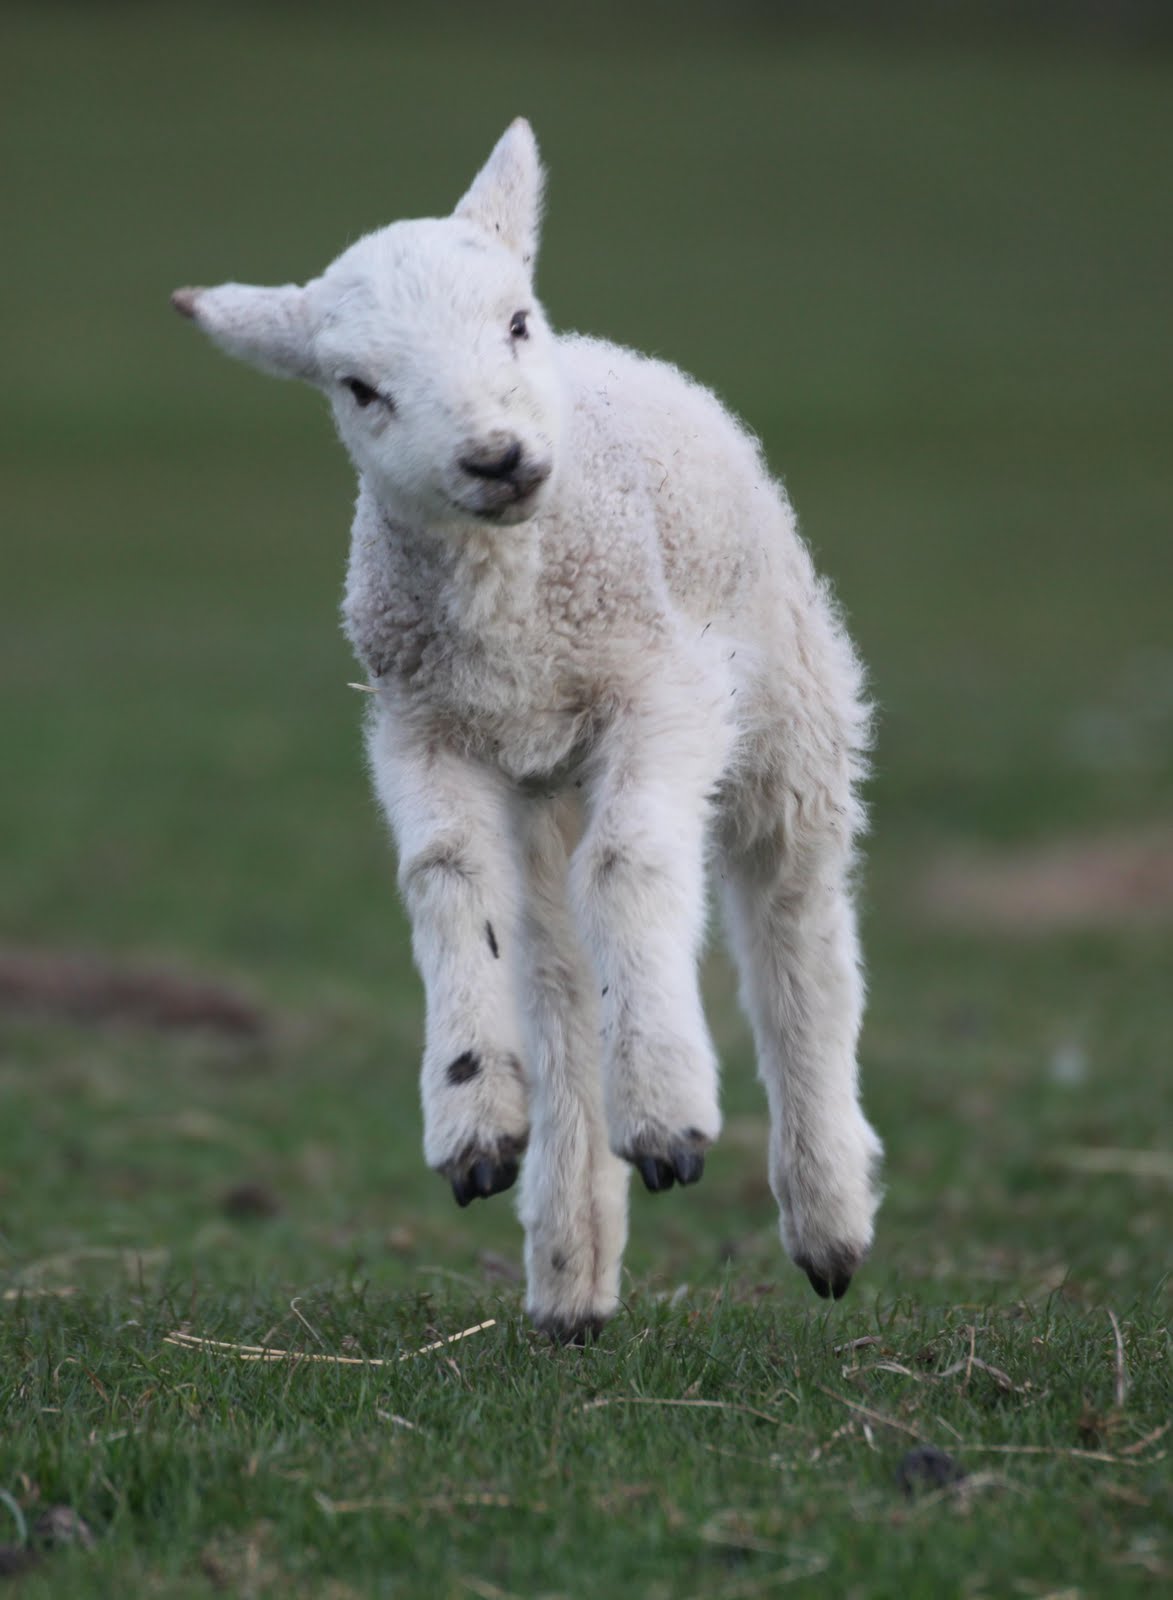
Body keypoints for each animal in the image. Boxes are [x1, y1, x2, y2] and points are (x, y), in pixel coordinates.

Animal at [172, 118, 883, 1342]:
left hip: (787, 702)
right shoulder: (425, 732)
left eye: (512, 321)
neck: (511, 611)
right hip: (541, 786)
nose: (498, 457)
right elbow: (446, 877)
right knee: (555, 978)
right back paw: (570, 1269)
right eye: (359, 387)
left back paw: (825, 1215)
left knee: (798, 930)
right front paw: (473, 1120)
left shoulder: (663, 687)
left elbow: (634, 859)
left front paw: (669, 1111)